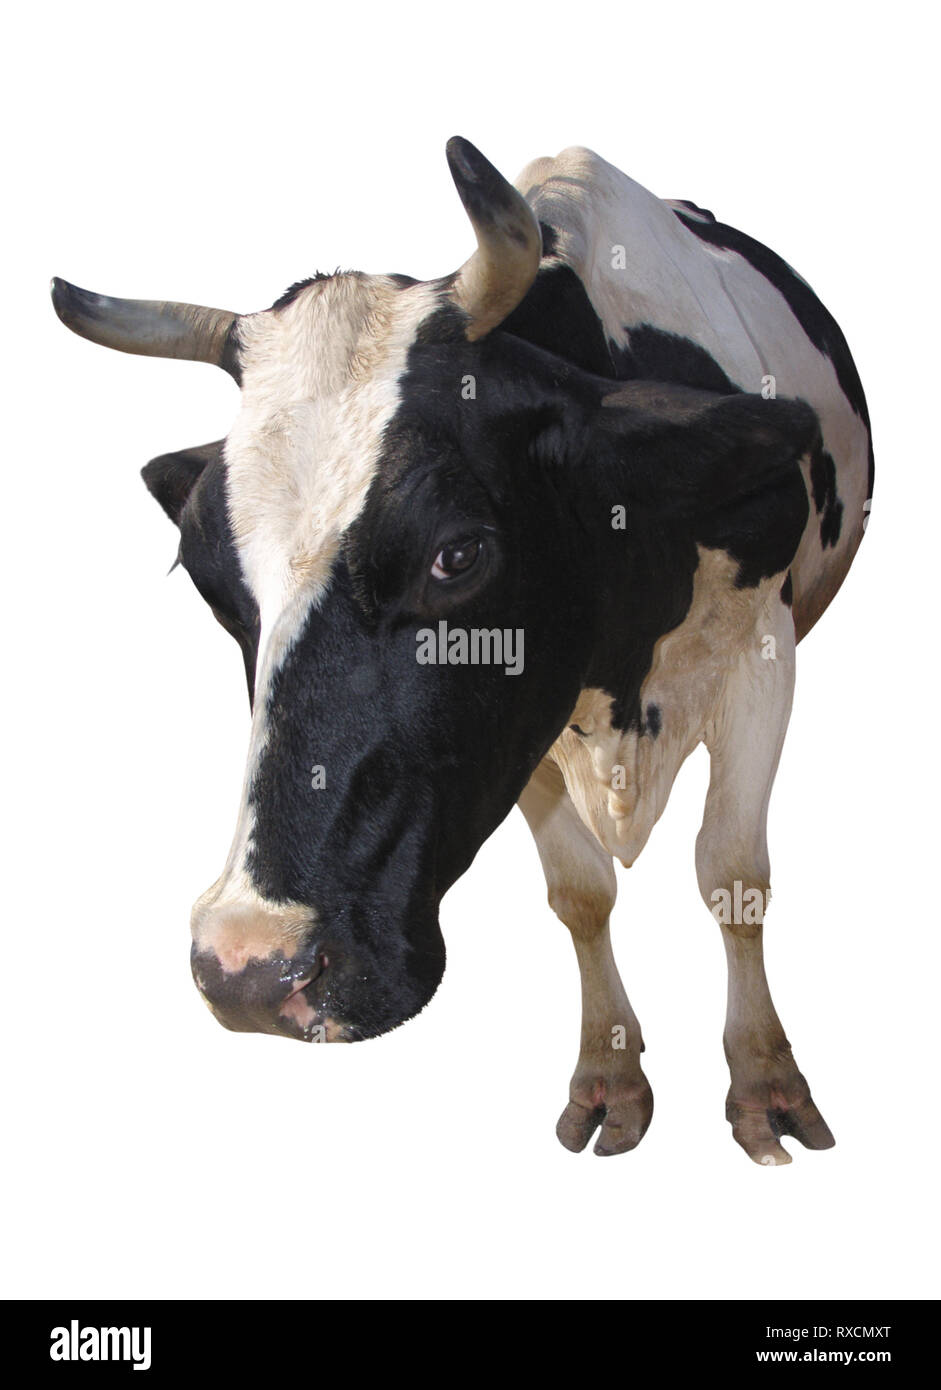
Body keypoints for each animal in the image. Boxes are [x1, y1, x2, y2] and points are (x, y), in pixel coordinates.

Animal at [51, 137, 872, 1165]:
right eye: (207, 580)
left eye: (458, 553)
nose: (247, 970)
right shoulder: (521, 734)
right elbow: (579, 893)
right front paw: (610, 1077)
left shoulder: (766, 650)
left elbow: (732, 871)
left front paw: (766, 1084)